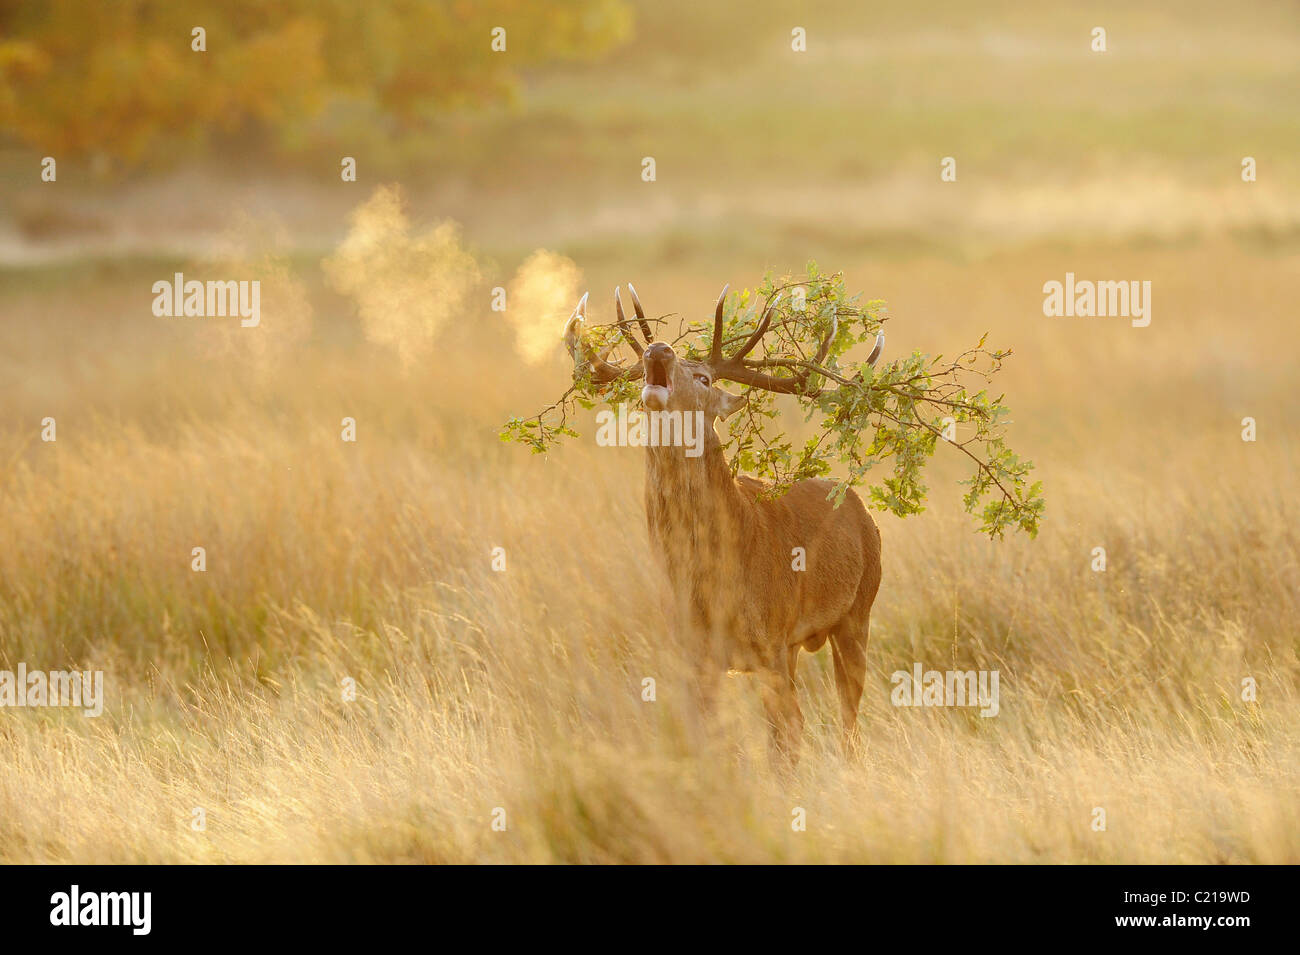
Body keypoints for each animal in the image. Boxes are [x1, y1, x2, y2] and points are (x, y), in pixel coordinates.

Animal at [563, 283, 885, 769]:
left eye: (704, 379)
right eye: (640, 371)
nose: (658, 350)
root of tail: (860, 506)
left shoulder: (770, 639)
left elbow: (789, 734)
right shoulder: (692, 654)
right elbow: (706, 739)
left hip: (858, 609)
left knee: (846, 719)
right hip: (796, 644)